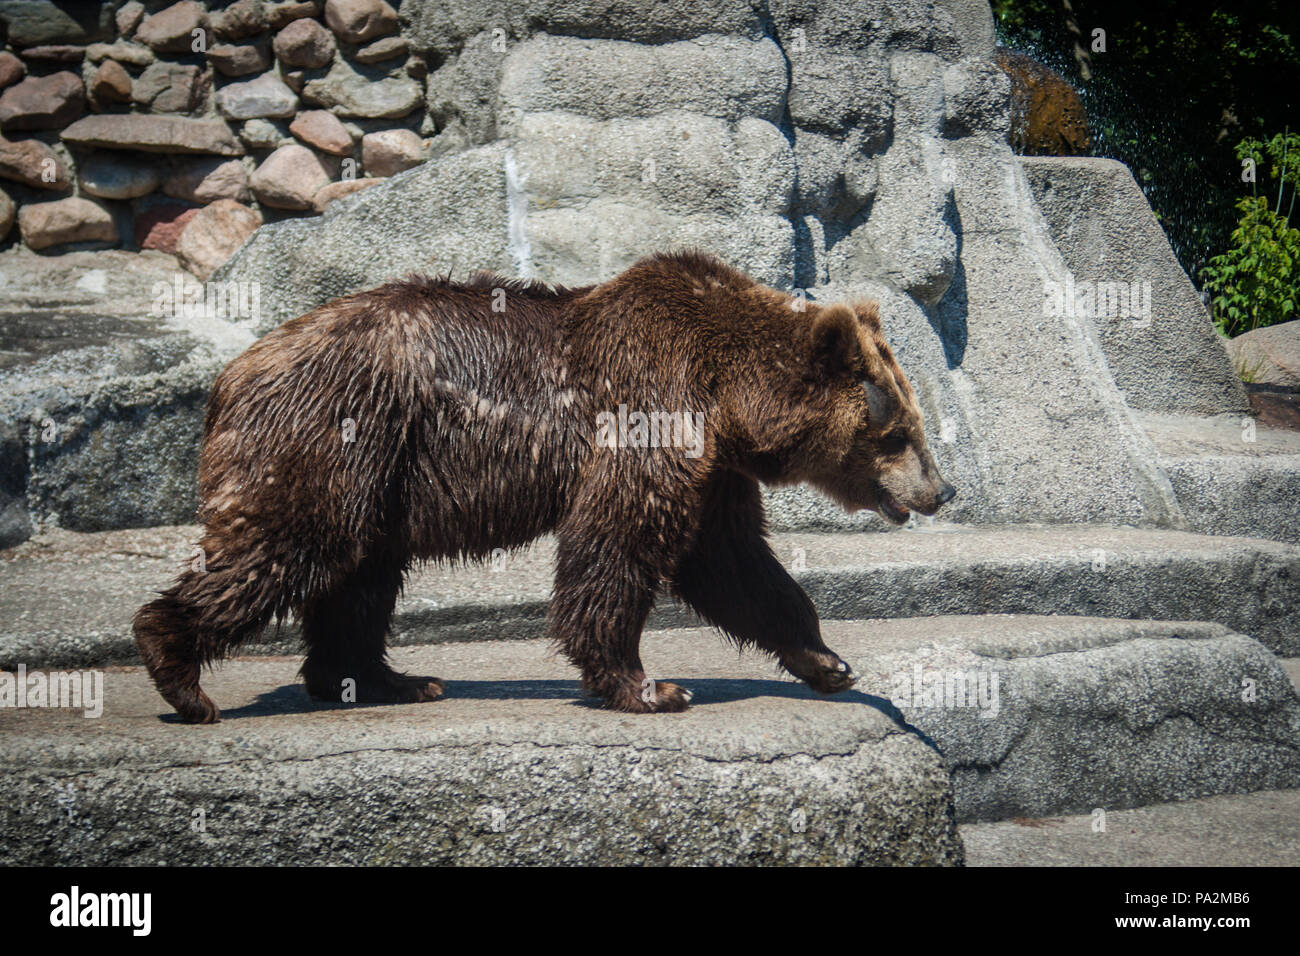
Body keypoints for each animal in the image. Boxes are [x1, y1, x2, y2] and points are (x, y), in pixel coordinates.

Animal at [134, 250, 955, 722]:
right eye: (897, 432)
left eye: (915, 421)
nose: (941, 491)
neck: (727, 395)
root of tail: (232, 373)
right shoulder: (650, 409)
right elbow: (620, 543)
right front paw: (649, 687)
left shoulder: (714, 468)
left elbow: (734, 565)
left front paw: (827, 661)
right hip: (334, 432)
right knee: (292, 543)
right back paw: (181, 674)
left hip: (378, 469)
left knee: (360, 574)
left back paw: (386, 678)